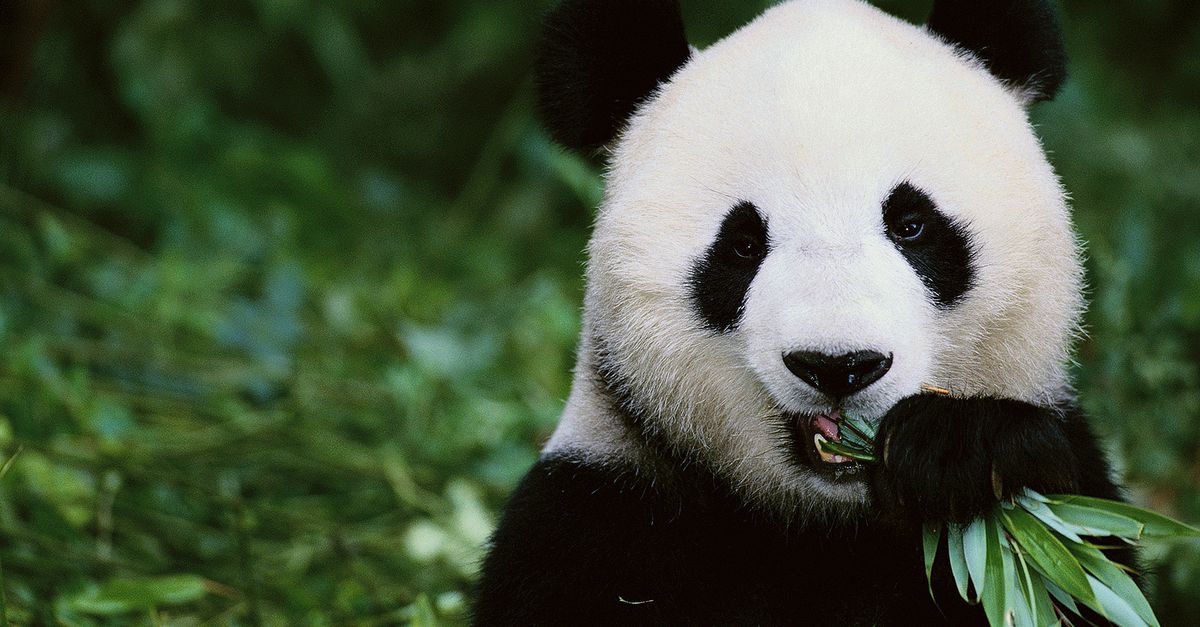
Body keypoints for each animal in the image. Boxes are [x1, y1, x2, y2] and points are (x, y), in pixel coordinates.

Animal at [474, 0, 1133, 624]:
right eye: (742, 245)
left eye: (912, 226)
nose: (838, 365)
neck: (826, 524)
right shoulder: (597, 511)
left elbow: (1075, 574)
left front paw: (961, 451)